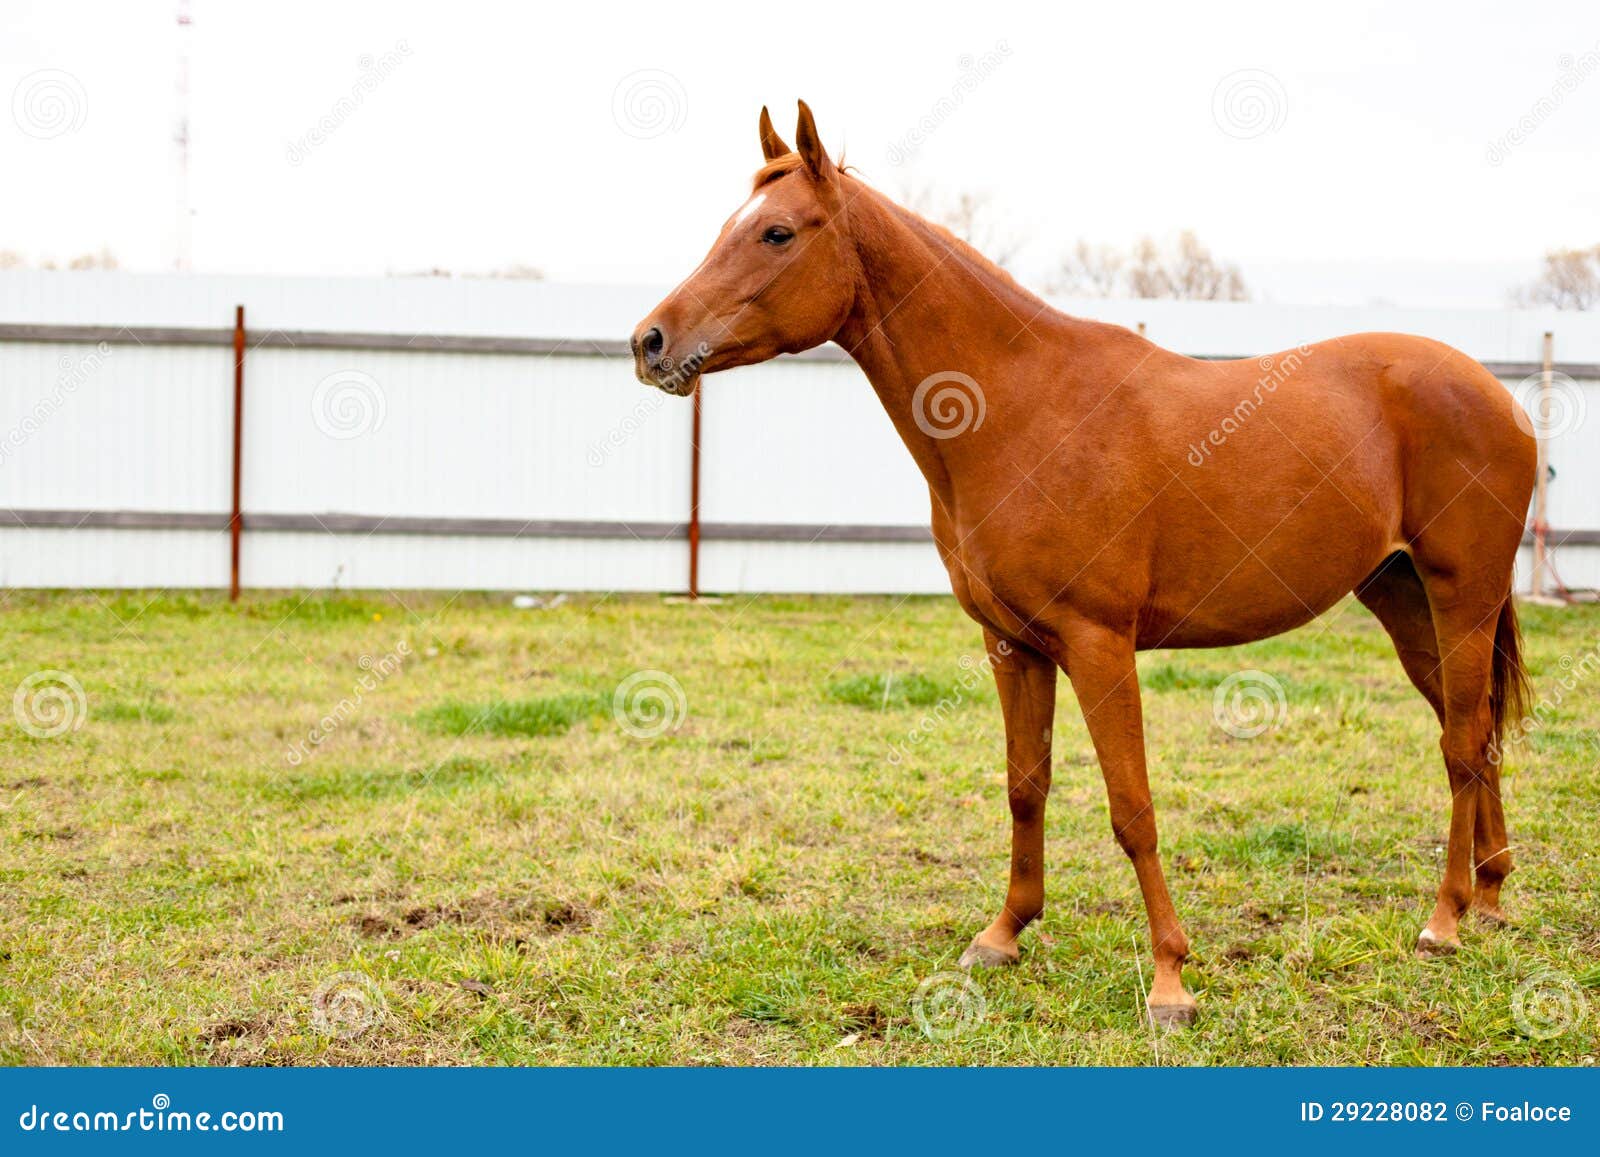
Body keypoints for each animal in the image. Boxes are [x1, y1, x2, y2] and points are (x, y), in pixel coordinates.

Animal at [631, 101, 1536, 1025]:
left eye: (777, 231)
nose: (651, 341)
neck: (1020, 407)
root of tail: (1499, 394)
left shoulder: (1099, 646)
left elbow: (1131, 806)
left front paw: (1171, 978)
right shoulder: (1014, 645)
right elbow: (1024, 786)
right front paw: (1003, 934)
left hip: (1462, 599)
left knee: (1463, 743)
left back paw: (1445, 919)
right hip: (1405, 602)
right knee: (1474, 732)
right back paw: (1492, 896)